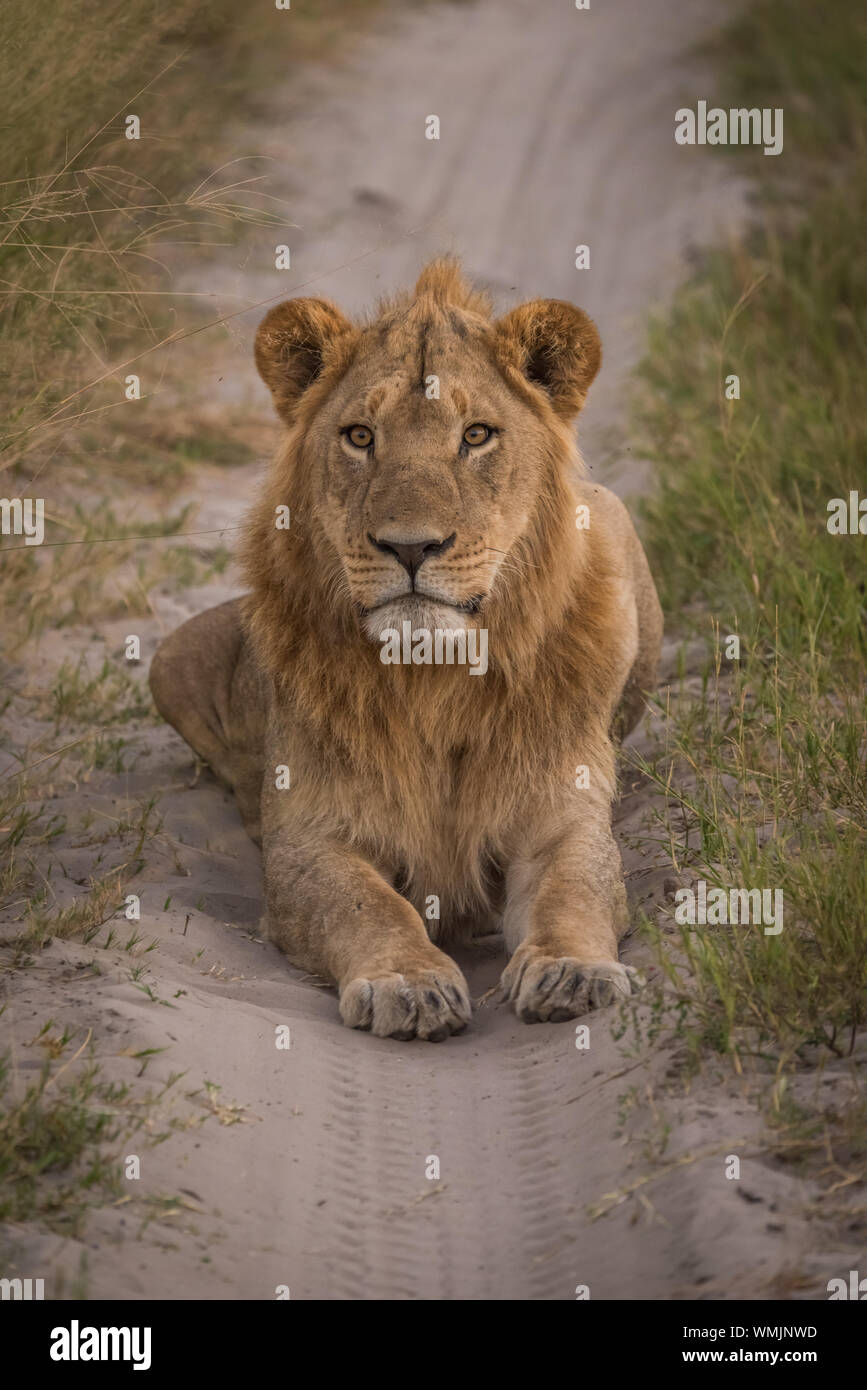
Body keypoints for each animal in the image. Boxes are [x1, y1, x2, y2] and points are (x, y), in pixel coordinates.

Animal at [149, 260, 663, 1041]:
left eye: (476, 435)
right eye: (360, 436)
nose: (411, 546)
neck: (434, 675)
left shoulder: (561, 818)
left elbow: (573, 890)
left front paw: (574, 971)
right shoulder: (311, 837)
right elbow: (369, 907)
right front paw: (408, 982)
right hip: (171, 658)